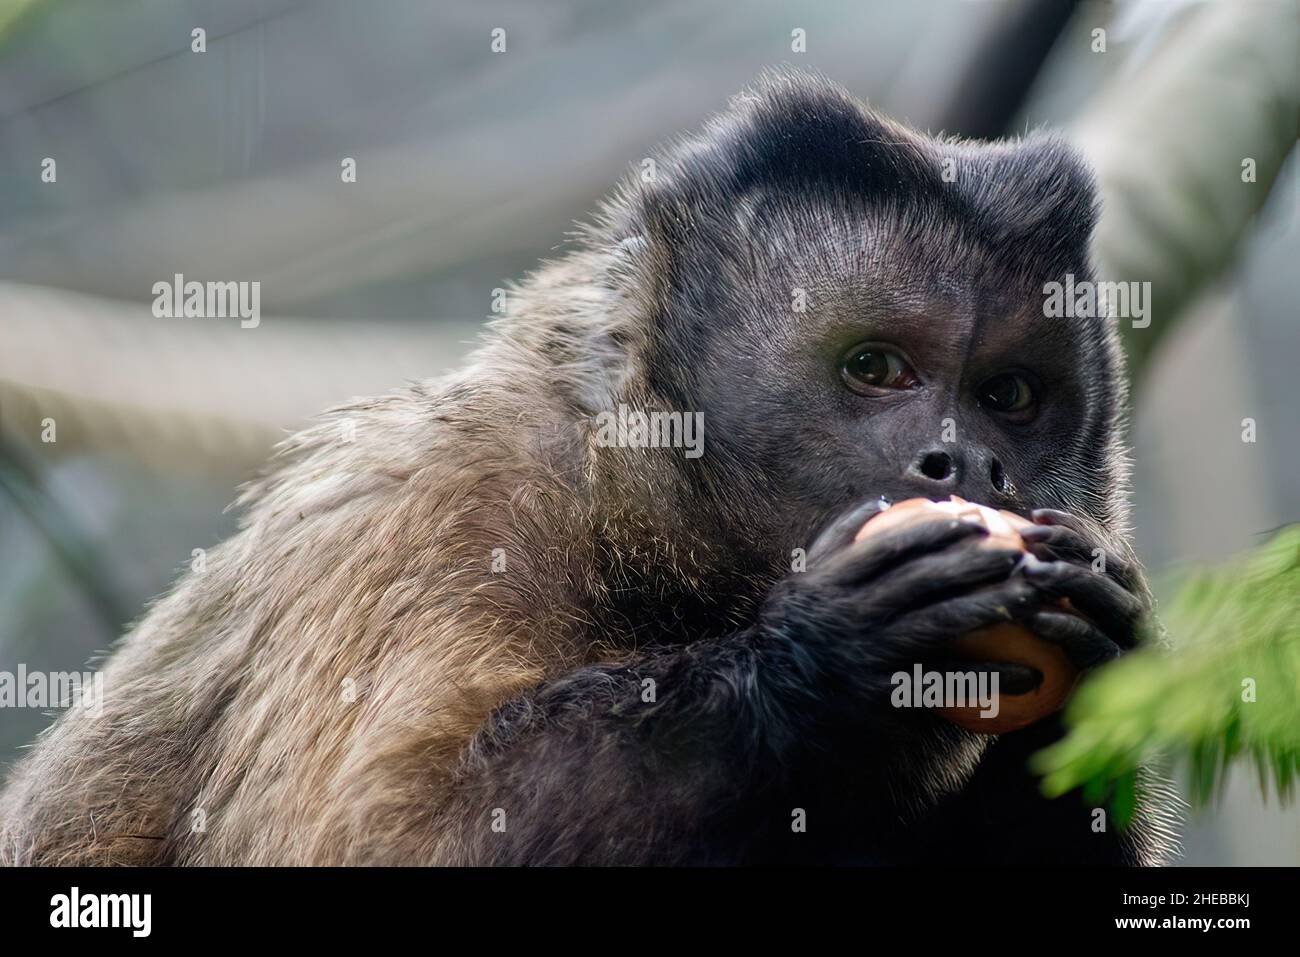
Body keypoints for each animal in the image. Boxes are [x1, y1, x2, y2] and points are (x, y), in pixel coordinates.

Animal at [0, 71, 1179, 866]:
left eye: (1010, 396)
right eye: (876, 369)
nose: (970, 460)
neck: (637, 527)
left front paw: (1098, 657)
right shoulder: (448, 510)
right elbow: (382, 839)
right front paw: (830, 656)